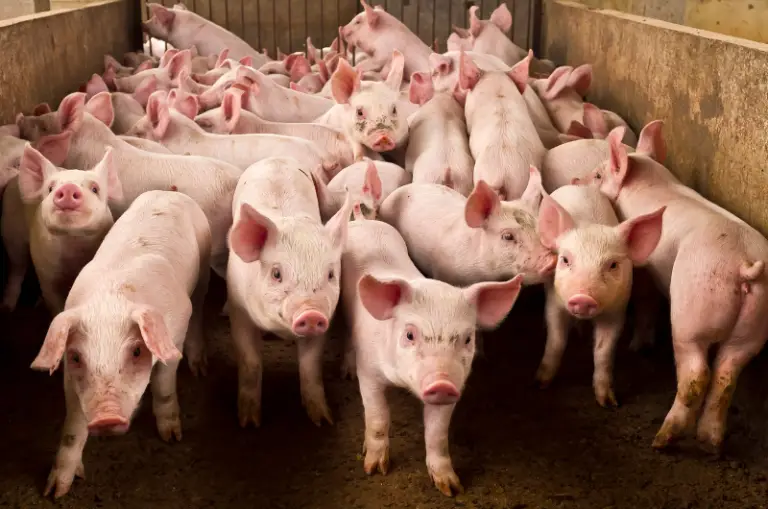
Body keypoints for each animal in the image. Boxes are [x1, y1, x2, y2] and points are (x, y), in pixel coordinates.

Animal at [31, 190, 211, 498]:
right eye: (76, 357)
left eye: (137, 351)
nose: (106, 417)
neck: (111, 301)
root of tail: (169, 192)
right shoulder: (70, 378)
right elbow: (73, 428)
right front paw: (55, 492)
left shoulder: (173, 338)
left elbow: (164, 387)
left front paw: (172, 437)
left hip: (204, 268)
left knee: (199, 309)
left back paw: (200, 368)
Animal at [227, 157, 352, 427]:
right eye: (276, 274)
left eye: (330, 274)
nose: (311, 313)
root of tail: (277, 158)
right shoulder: (238, 309)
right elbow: (250, 361)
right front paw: (249, 424)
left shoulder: (327, 319)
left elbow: (310, 366)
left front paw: (323, 421)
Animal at [341, 216, 523, 496]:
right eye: (409, 335)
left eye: (467, 338)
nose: (442, 383)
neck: (401, 382)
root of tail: (362, 219)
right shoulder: (369, 373)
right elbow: (378, 416)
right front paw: (374, 469)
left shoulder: (454, 390)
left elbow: (437, 434)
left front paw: (451, 488)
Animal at [536, 184, 665, 406]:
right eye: (565, 260)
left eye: (612, 265)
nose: (583, 298)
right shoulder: (554, 301)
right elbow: (556, 340)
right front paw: (540, 383)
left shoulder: (616, 310)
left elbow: (603, 351)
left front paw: (609, 403)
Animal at [590, 120, 768, 452]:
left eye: (597, 175)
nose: (575, 178)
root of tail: (744, 265)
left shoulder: (643, 265)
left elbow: (646, 300)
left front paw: (638, 346)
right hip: (754, 326)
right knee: (727, 373)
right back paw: (710, 444)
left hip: (693, 310)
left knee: (697, 374)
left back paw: (662, 440)